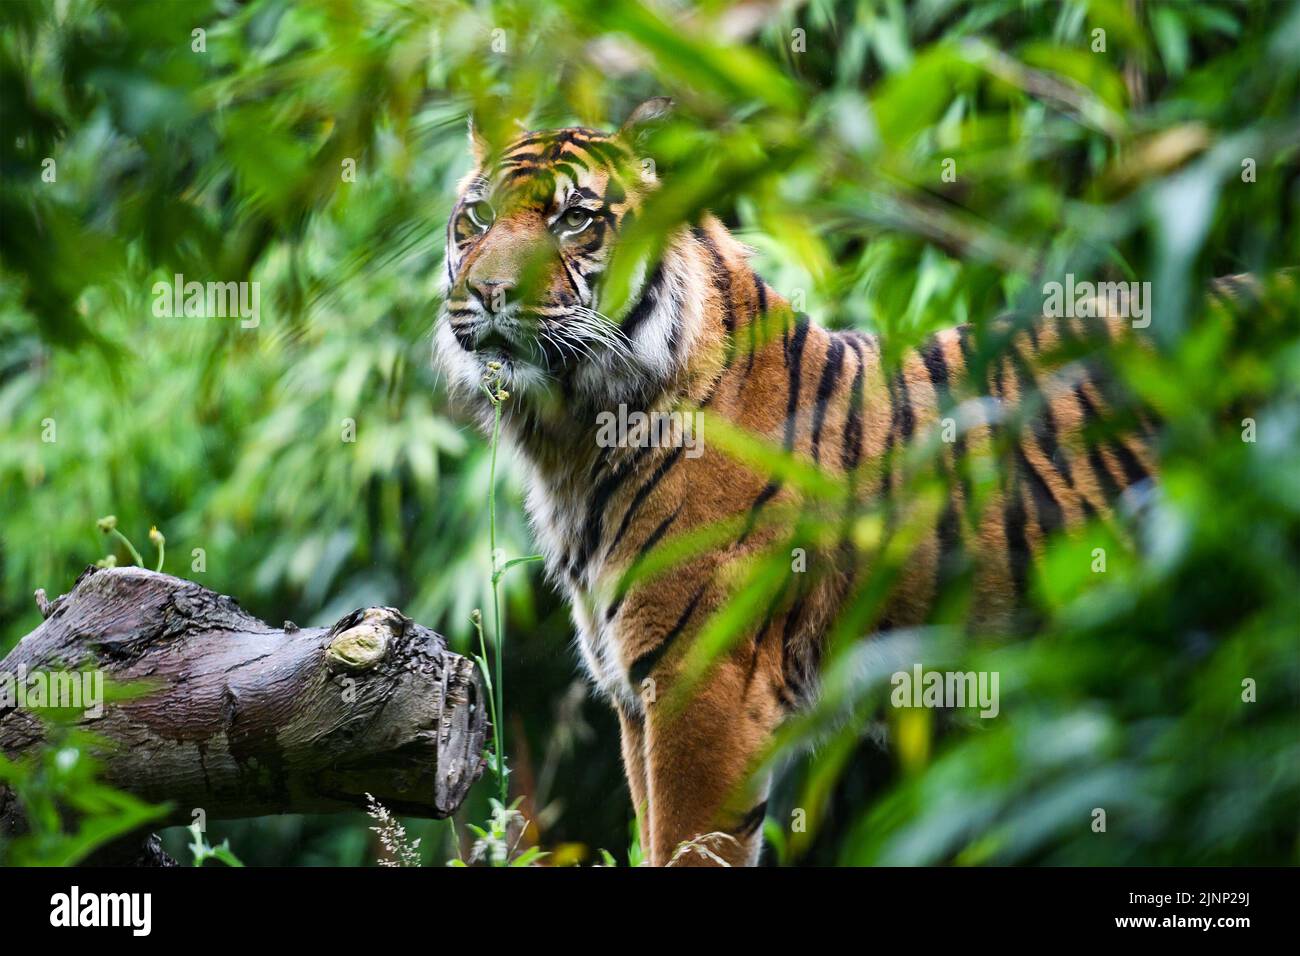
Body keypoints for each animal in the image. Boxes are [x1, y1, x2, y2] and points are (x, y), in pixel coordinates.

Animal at [434, 98, 1156, 866]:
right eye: (478, 216)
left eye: (574, 217)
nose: (488, 292)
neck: (572, 441)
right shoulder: (633, 698)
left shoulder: (703, 684)